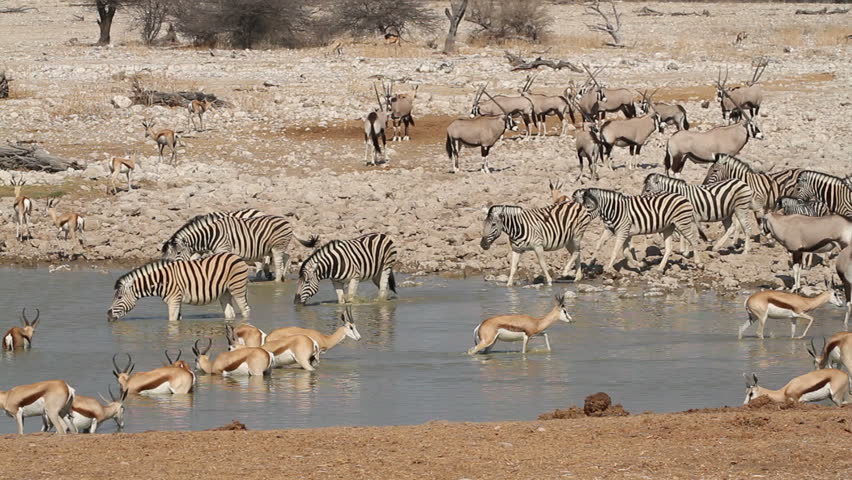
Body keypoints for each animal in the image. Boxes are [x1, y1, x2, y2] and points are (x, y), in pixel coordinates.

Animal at [107, 253, 250, 322]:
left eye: (119, 297)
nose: (108, 315)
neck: (160, 280)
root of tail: (236, 256)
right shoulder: (177, 300)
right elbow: (177, 319)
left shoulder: (173, 299)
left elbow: (171, 320)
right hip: (225, 292)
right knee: (230, 313)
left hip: (237, 288)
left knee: (245, 310)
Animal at [162, 215, 317, 282]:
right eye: (167, 256)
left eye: (179, 252)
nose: (171, 267)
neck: (210, 235)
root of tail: (287, 221)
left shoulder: (223, 248)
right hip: (275, 248)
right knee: (287, 257)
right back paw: (283, 277)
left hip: (277, 247)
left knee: (278, 264)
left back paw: (277, 281)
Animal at [572, 188, 702, 273]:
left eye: (588, 206)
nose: (579, 219)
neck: (613, 210)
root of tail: (683, 197)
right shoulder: (612, 230)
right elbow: (601, 245)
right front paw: (590, 264)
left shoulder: (623, 232)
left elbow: (616, 251)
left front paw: (609, 268)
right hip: (668, 227)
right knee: (669, 248)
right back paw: (660, 269)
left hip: (682, 223)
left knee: (694, 241)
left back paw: (699, 264)